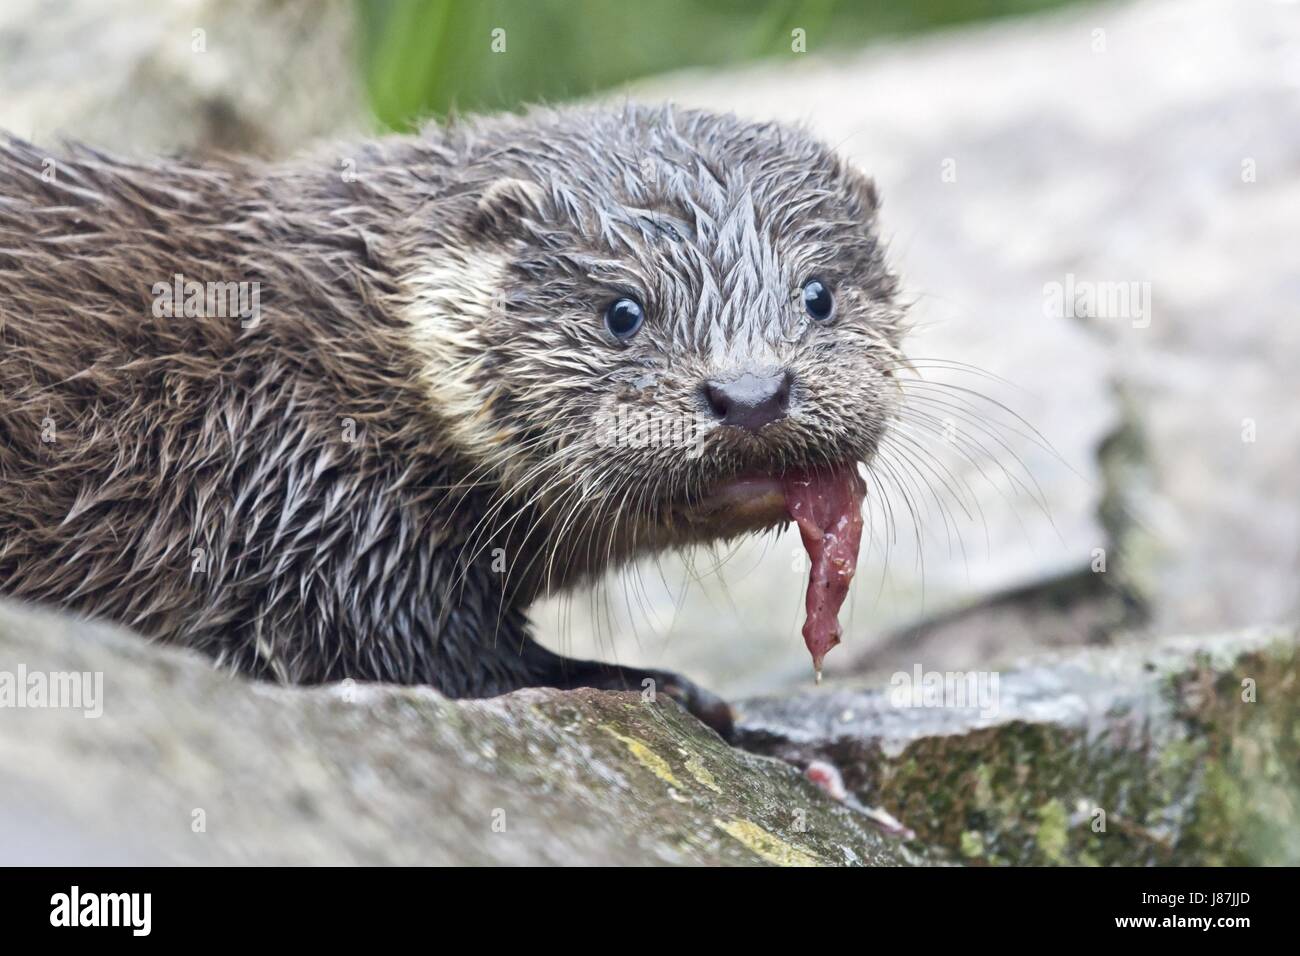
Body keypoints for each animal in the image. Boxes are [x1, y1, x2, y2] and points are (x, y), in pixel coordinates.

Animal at [0, 104, 904, 737]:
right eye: (622, 312)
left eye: (820, 295)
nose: (750, 393)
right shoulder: (305, 509)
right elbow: (416, 653)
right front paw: (662, 688)